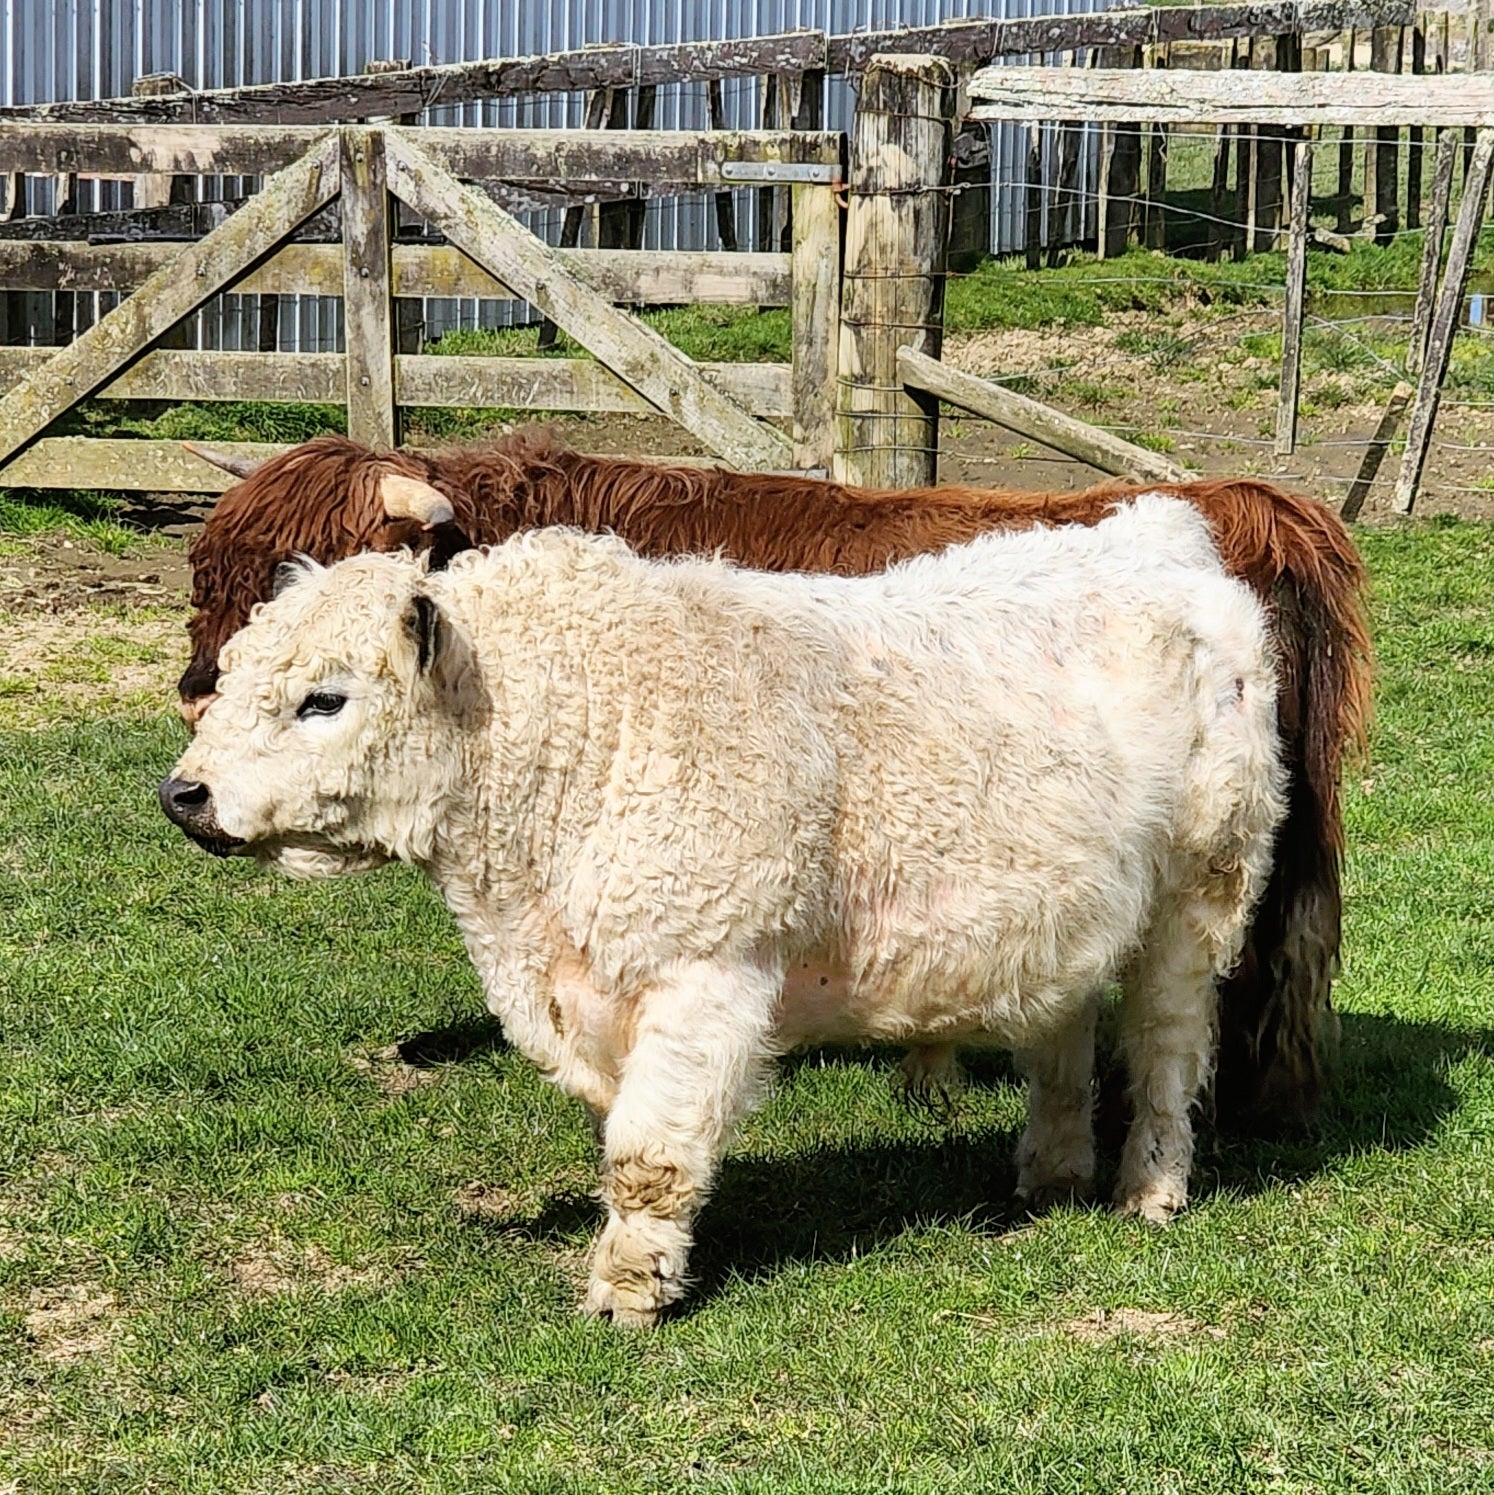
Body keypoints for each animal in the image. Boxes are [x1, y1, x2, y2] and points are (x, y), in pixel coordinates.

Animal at [161, 498, 1285, 1324]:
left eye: (324, 698)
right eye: (238, 674)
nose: (183, 793)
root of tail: (1151, 526)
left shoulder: (706, 974)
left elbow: (650, 1151)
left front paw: (628, 1292)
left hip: (1198, 896)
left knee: (1167, 1050)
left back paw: (1150, 1189)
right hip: (1061, 914)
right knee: (1062, 1037)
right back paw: (1049, 1176)